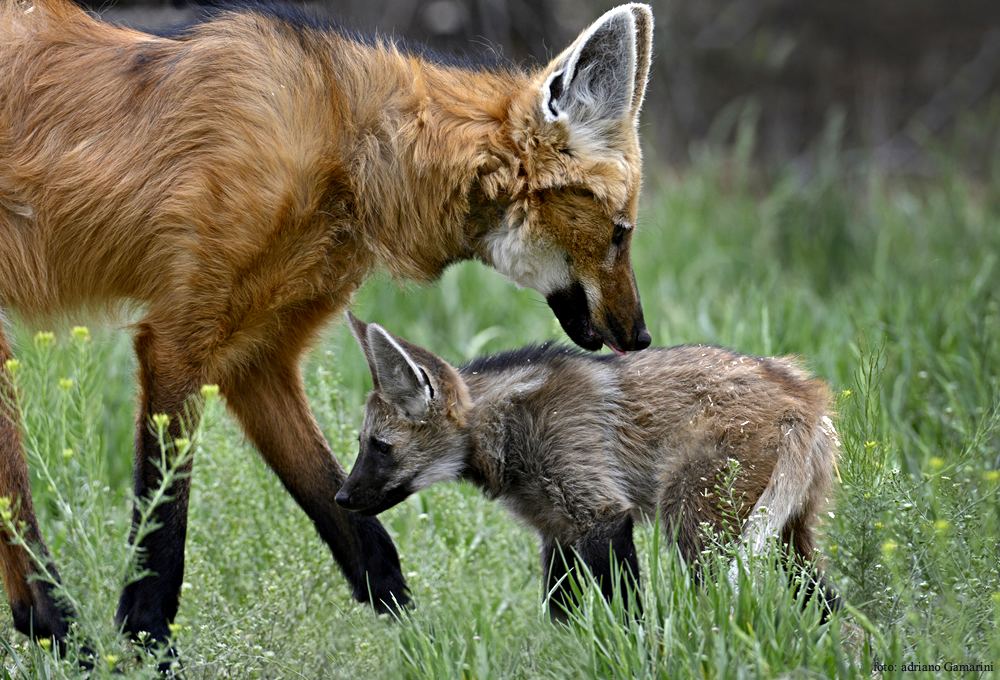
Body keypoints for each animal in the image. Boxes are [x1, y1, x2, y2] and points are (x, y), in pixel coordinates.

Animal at [0, 0, 654, 650]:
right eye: (620, 233)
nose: (641, 337)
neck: (348, 146)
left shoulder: (256, 362)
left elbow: (361, 537)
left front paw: (420, 647)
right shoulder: (176, 346)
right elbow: (162, 538)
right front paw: (147, 647)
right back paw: (70, 642)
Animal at [337, 314, 841, 618]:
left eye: (381, 448)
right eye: (362, 444)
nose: (341, 498)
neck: (508, 425)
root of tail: (803, 399)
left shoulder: (600, 513)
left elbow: (628, 613)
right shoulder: (557, 529)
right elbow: (560, 616)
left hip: (697, 527)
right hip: (779, 534)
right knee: (826, 600)